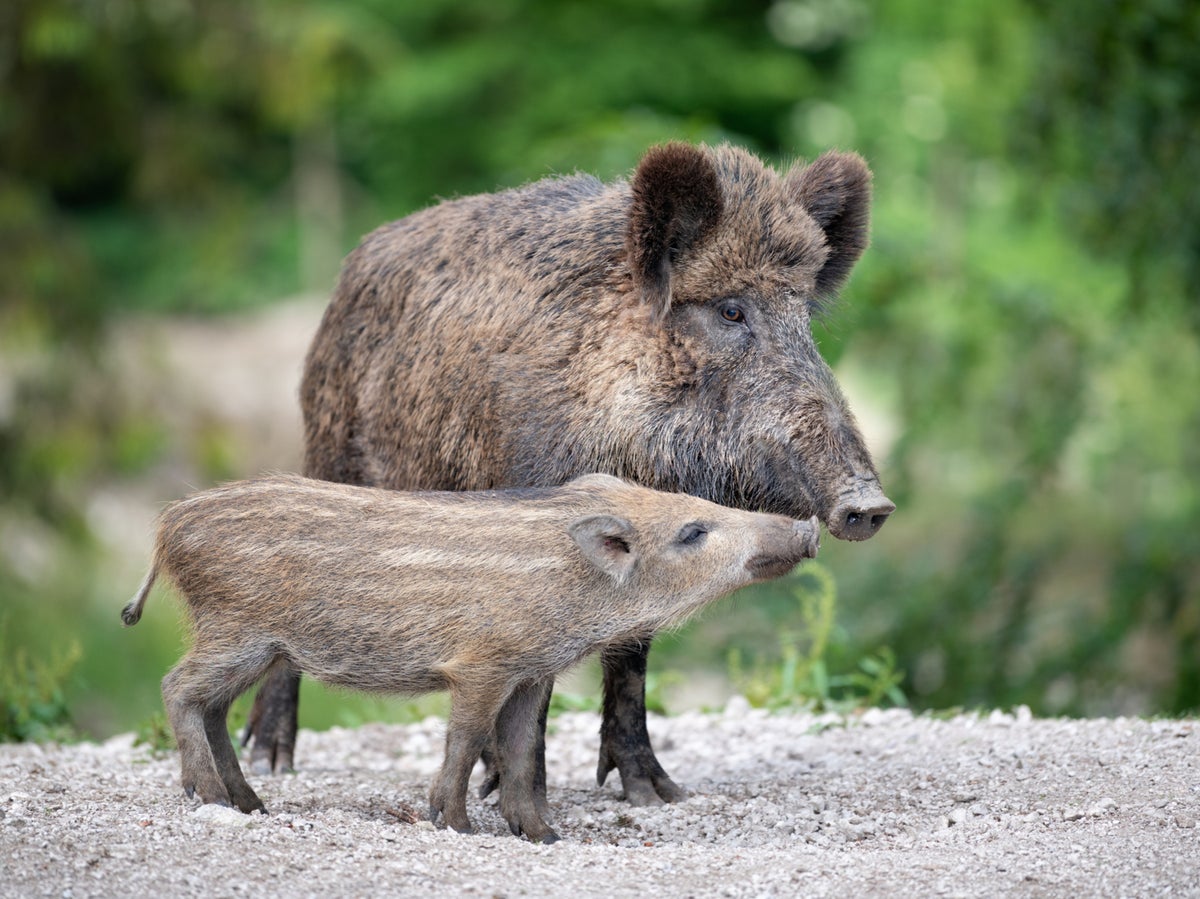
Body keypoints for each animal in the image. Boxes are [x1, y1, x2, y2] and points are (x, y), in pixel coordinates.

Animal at [122, 473, 819, 843]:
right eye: (693, 532)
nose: (809, 527)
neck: (574, 585)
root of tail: (166, 527)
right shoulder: (481, 665)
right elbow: (466, 739)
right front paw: (455, 823)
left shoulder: (531, 673)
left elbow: (519, 747)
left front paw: (541, 835)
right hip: (236, 633)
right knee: (176, 688)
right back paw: (210, 798)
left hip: (260, 649)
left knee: (211, 709)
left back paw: (250, 805)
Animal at [245, 141, 893, 807]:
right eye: (730, 310)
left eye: (805, 320)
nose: (870, 505)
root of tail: (350, 271)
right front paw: (520, 795)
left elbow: (631, 658)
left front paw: (656, 794)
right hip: (331, 452)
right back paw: (270, 762)